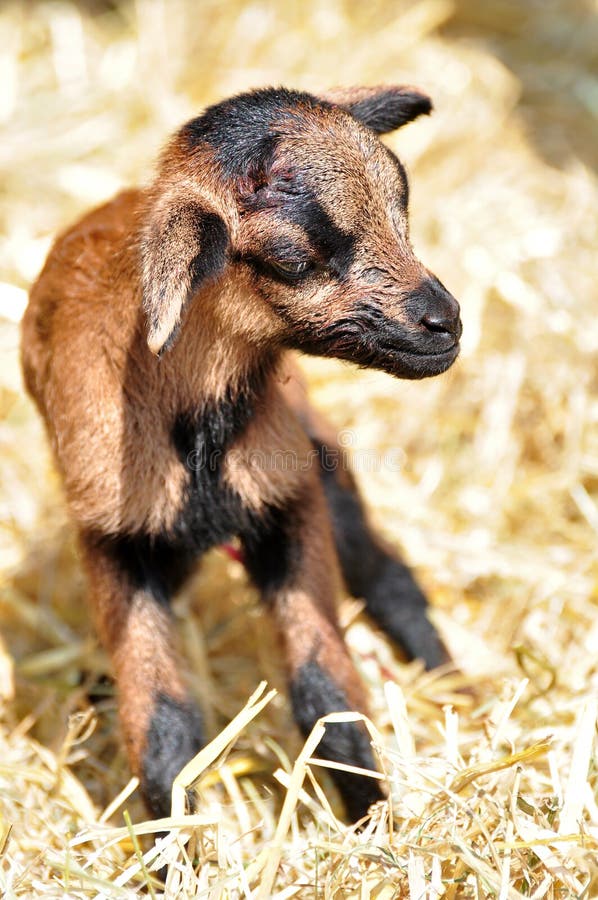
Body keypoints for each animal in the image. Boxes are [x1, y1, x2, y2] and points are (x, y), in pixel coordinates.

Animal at [21, 86, 462, 822]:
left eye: (403, 211)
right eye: (293, 259)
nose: (445, 323)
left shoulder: (291, 500)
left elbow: (326, 694)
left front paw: (371, 825)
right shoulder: (116, 543)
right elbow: (162, 722)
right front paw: (171, 844)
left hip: (318, 453)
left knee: (386, 573)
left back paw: (452, 682)